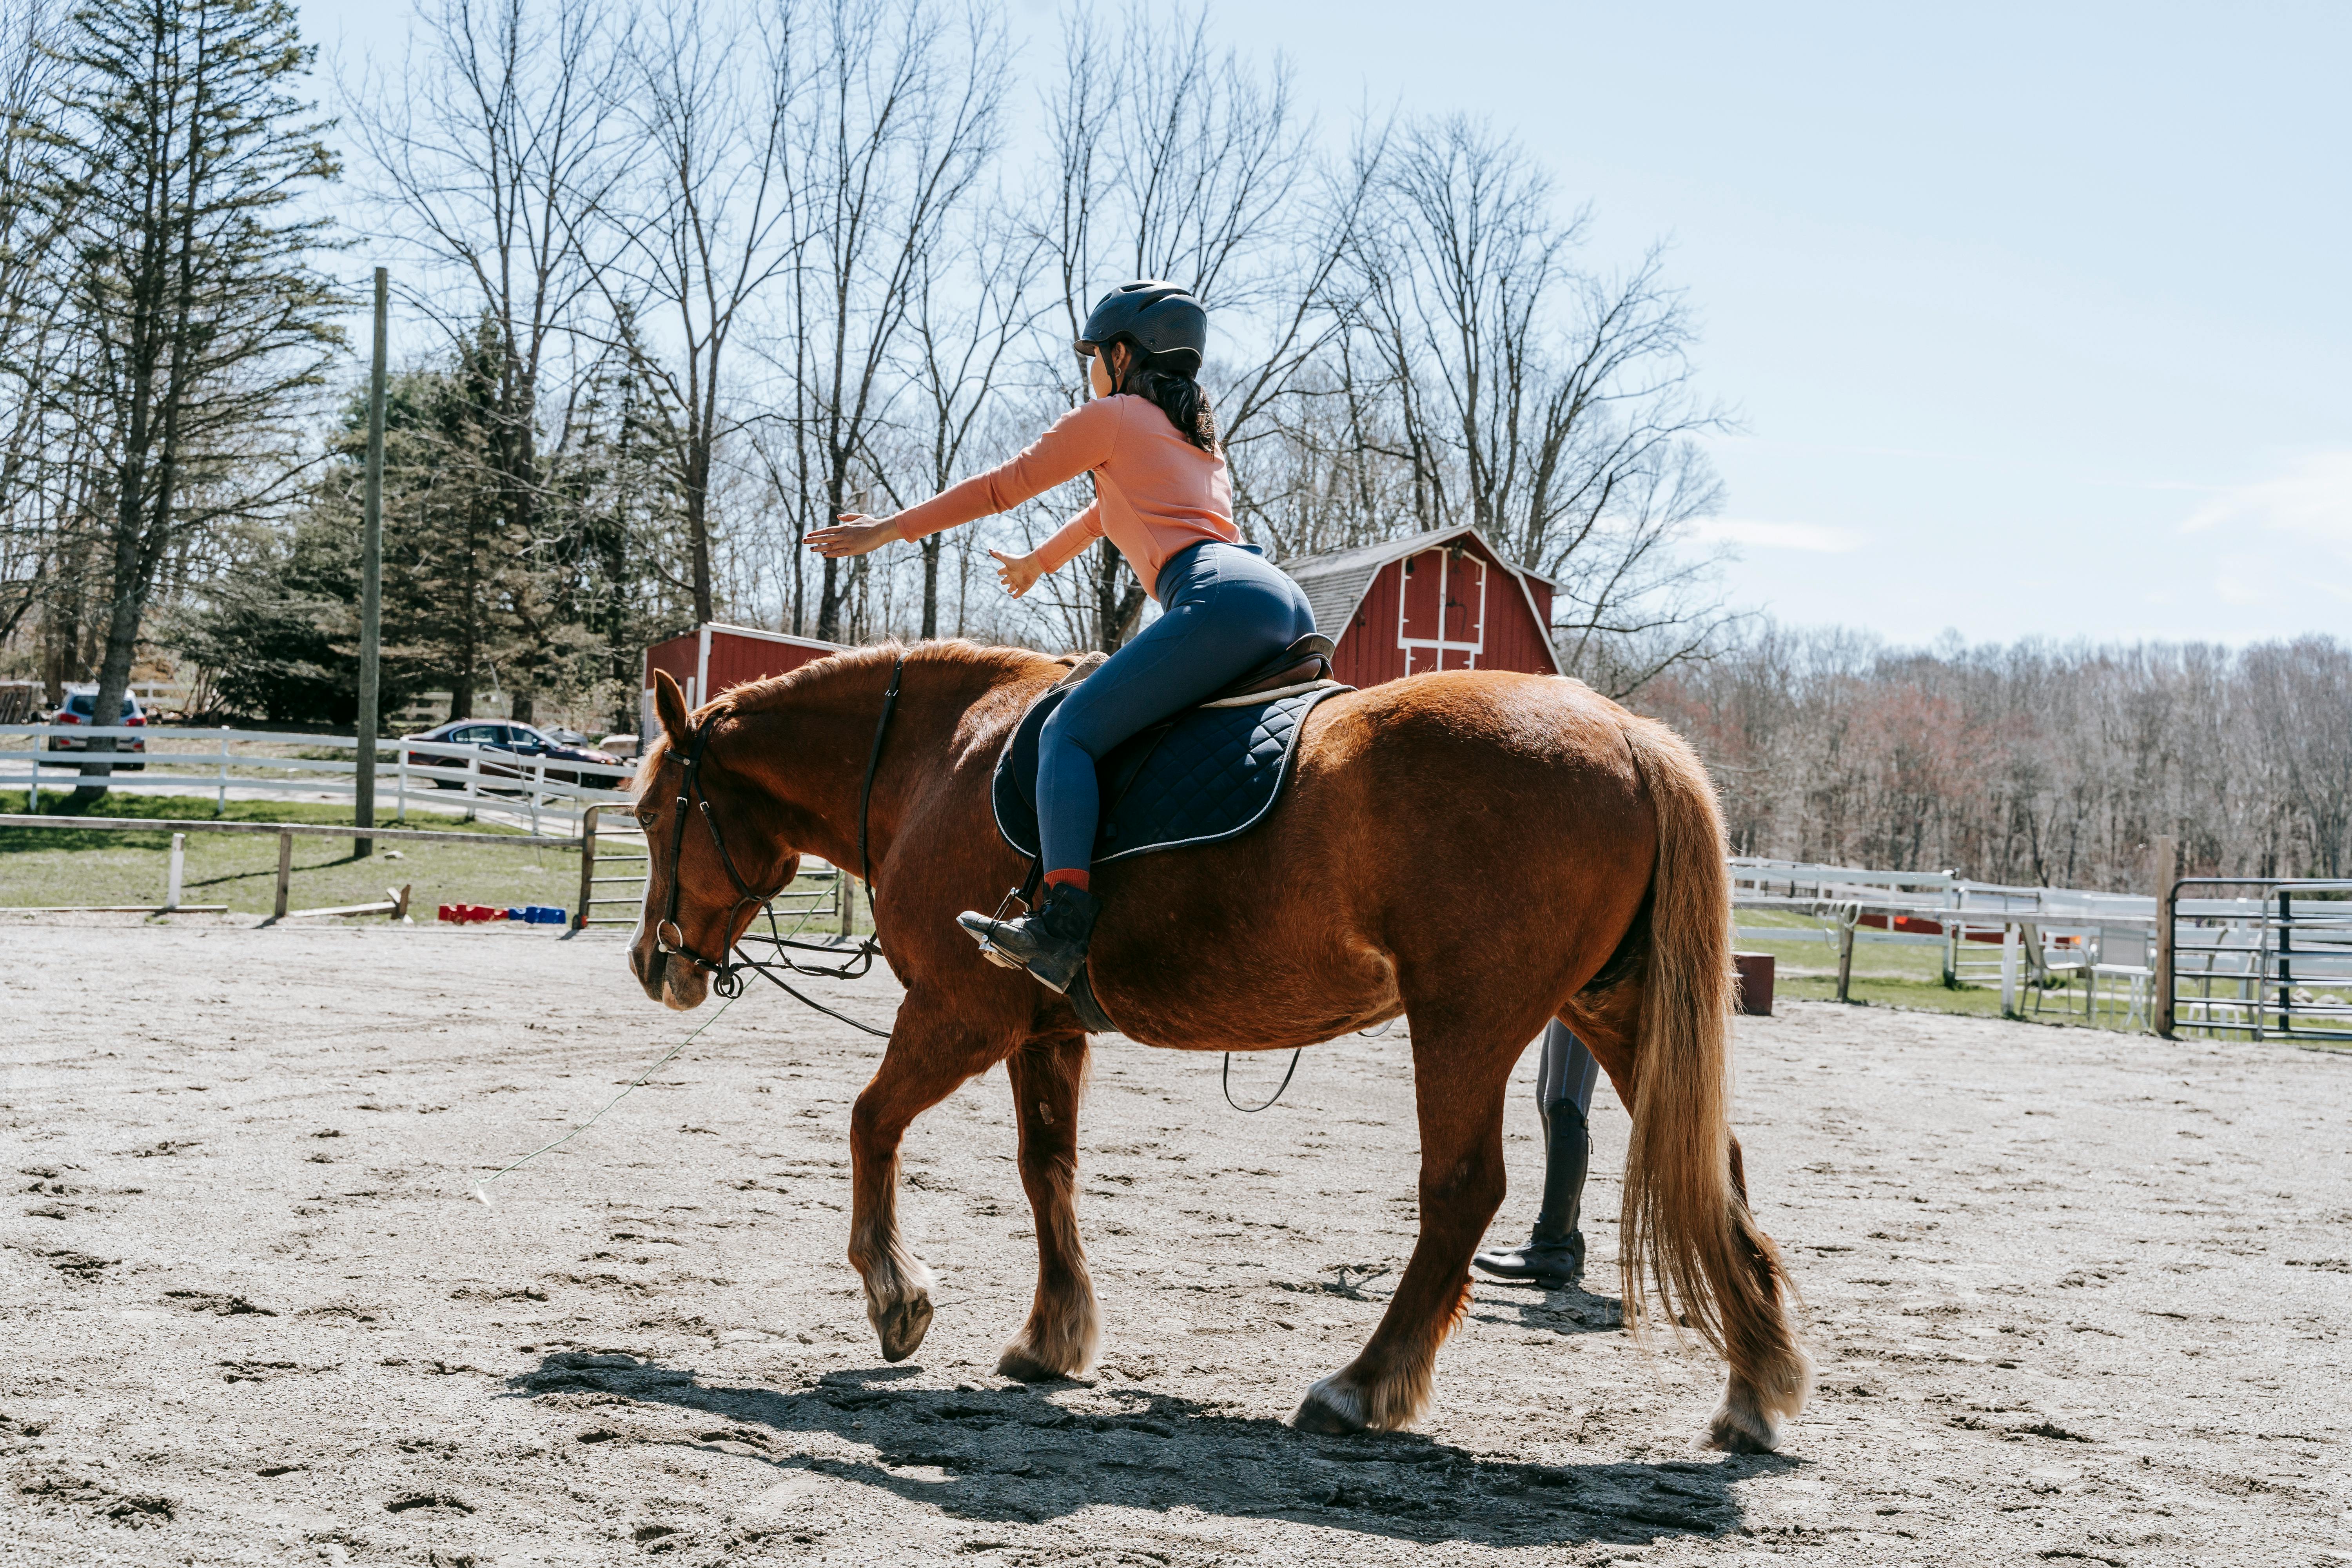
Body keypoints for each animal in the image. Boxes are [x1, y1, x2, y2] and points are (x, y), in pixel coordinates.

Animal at [627, 640, 1810, 1449]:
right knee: (1716, 1173)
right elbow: (1047, 1169)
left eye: (648, 814)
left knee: (1464, 1190)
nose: (653, 962)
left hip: (1468, 1022)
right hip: (1613, 1013)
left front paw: (895, 1294)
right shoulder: (1044, 1028)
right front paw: (1053, 1336)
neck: (937, 758)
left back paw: (1364, 1384)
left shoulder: (960, 1012)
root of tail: (1625, 733)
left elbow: (870, 1122)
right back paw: (1756, 1384)